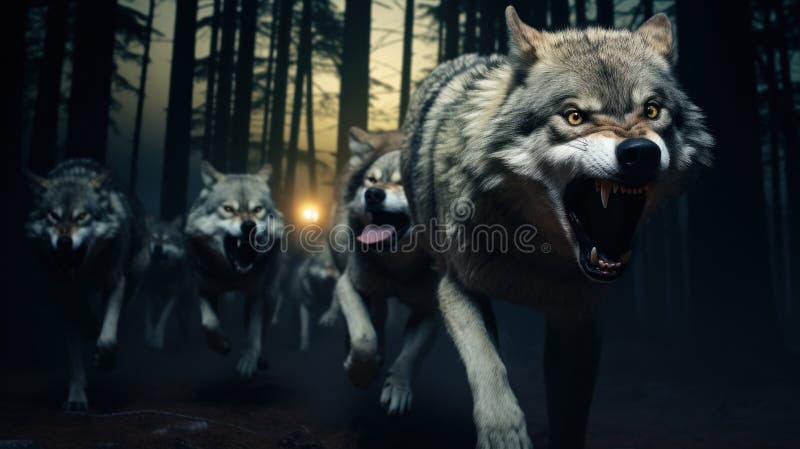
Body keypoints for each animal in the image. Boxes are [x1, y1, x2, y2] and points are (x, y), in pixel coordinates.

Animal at [25, 158, 146, 410]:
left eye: (82, 217)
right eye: (53, 216)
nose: (64, 241)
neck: (85, 273)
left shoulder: (115, 283)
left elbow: (107, 337)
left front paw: (106, 358)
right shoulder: (64, 294)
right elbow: (75, 358)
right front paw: (77, 397)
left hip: (135, 275)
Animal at [138, 217, 194, 350]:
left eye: (166, 240)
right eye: (153, 238)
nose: (158, 247)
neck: (161, 276)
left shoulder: (173, 295)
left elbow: (163, 318)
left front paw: (158, 340)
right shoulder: (149, 293)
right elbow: (150, 317)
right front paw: (149, 336)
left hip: (185, 297)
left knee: (185, 315)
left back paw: (185, 335)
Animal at [185, 162, 284, 378]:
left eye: (257, 209)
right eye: (228, 209)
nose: (248, 225)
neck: (233, 276)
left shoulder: (256, 295)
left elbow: (254, 334)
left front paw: (248, 360)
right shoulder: (203, 288)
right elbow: (209, 323)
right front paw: (221, 344)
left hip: (270, 294)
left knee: (264, 326)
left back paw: (259, 359)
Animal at [331, 148, 439, 415]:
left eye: (403, 183)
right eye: (372, 180)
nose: (373, 194)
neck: (396, 268)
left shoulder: (428, 311)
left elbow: (410, 355)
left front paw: (398, 388)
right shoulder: (348, 286)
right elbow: (363, 337)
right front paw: (362, 374)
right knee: (371, 319)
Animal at [401, 8, 713, 449]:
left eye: (652, 111)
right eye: (575, 116)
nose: (640, 153)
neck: (535, 255)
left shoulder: (578, 318)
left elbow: (570, 418)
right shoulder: (456, 285)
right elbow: (488, 364)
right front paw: (503, 432)